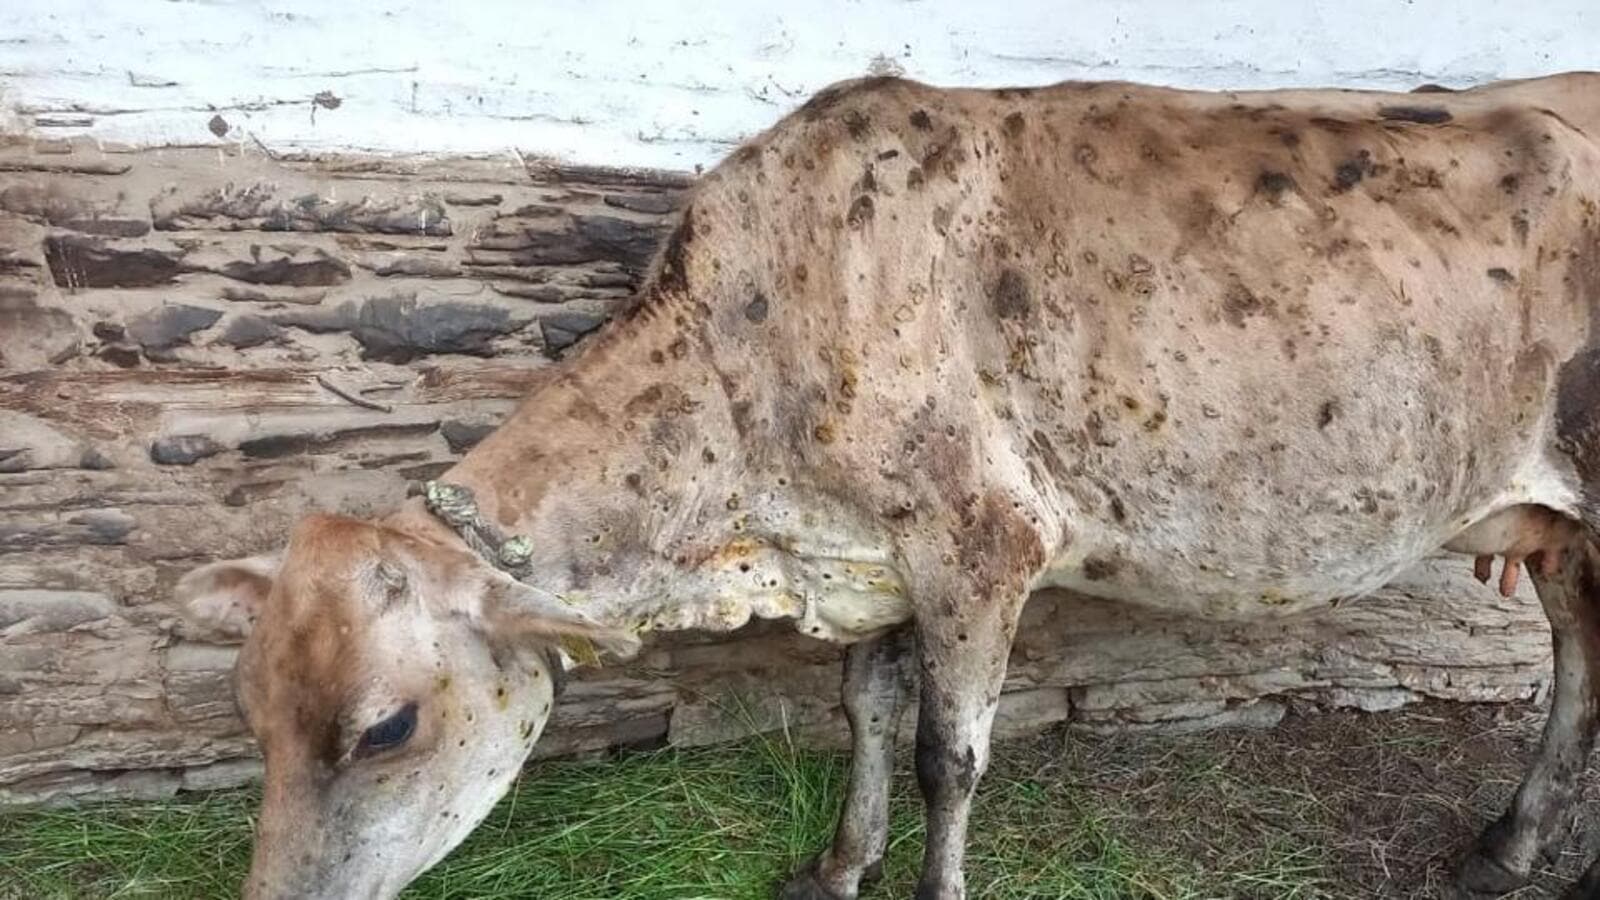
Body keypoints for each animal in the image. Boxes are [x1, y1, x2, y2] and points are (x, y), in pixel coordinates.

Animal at [175, 71, 1600, 899]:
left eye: (386, 730)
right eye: (249, 714)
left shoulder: (982, 538)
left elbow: (945, 756)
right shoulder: (875, 553)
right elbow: (862, 709)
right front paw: (836, 863)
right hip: (1558, 526)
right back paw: (1508, 843)